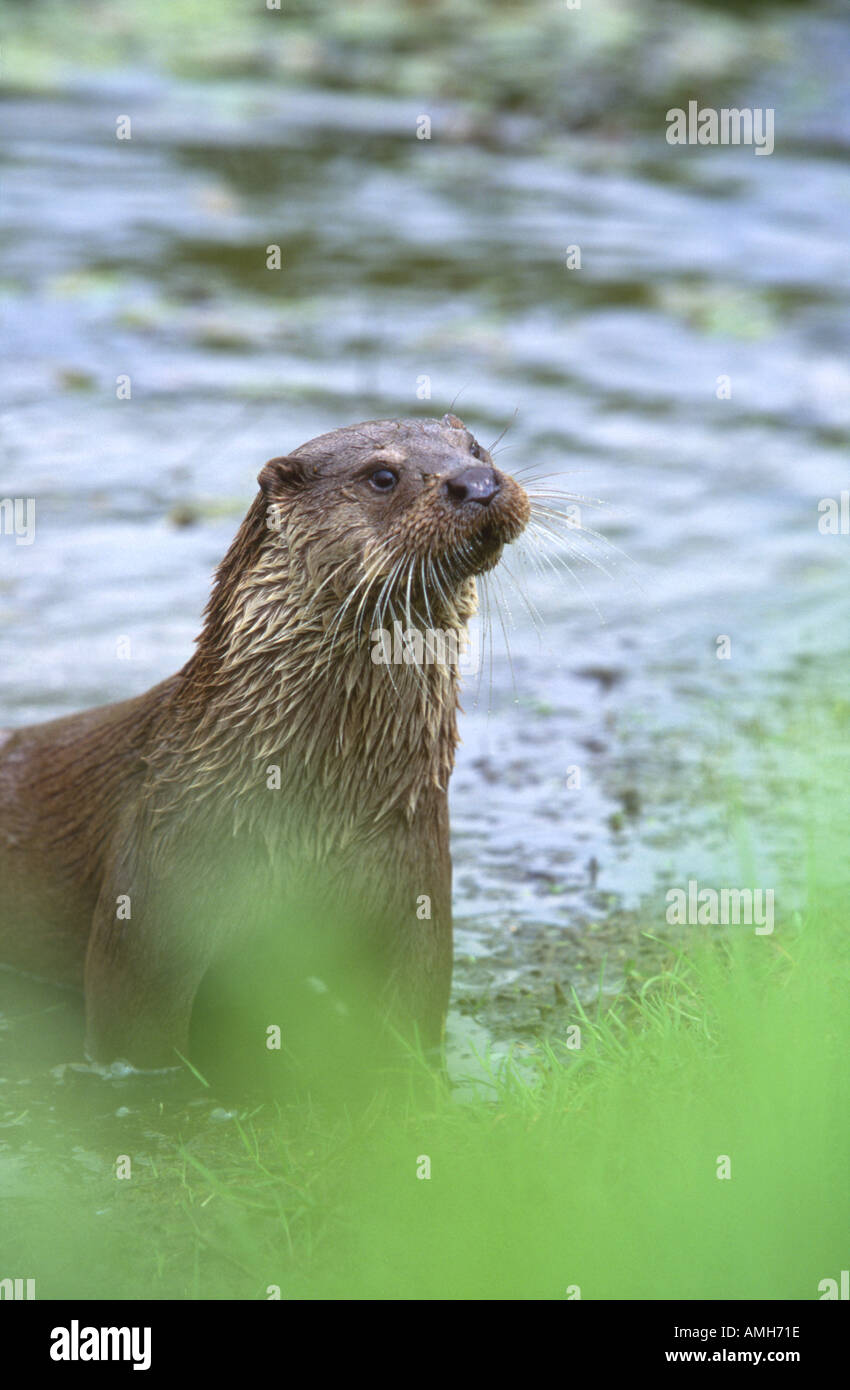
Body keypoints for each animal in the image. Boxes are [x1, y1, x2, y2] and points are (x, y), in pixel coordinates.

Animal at [0, 414, 529, 1073]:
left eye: (476, 448)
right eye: (382, 476)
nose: (478, 483)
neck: (316, 817)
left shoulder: (420, 889)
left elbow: (412, 1015)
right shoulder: (154, 893)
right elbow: (139, 1037)